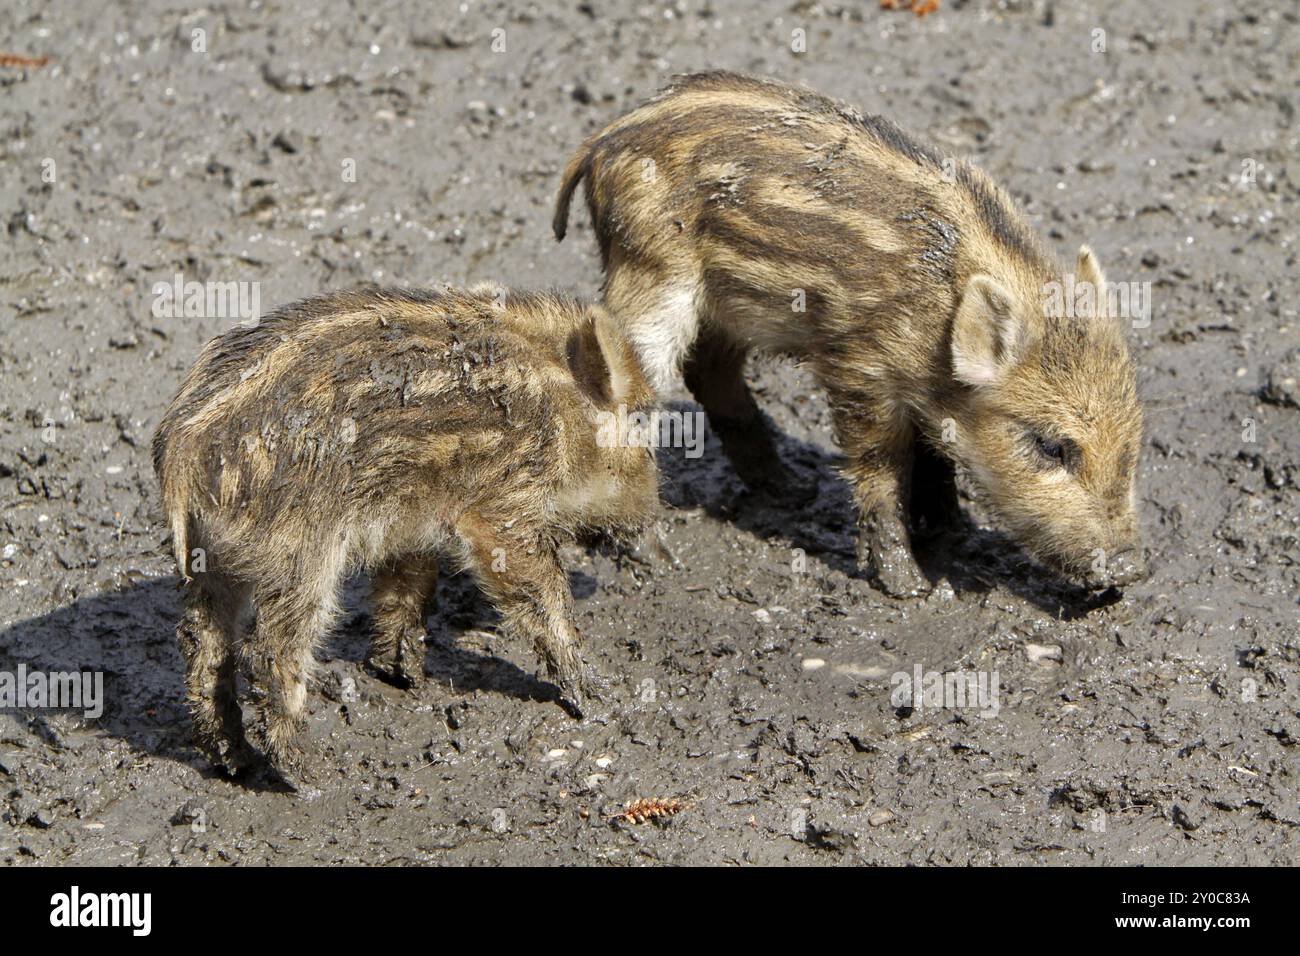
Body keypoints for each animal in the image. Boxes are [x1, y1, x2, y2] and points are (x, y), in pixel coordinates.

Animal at [152, 287, 658, 778]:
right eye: (639, 419)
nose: (650, 519)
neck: (561, 412)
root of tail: (182, 444)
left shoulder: (410, 528)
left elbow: (405, 593)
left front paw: (405, 676)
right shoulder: (499, 513)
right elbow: (545, 597)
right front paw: (599, 696)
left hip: (213, 562)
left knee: (202, 642)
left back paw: (231, 758)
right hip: (300, 553)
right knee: (271, 651)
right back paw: (309, 772)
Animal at [553, 71, 1146, 597]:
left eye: (1133, 443)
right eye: (1051, 446)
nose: (1130, 570)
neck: (938, 315)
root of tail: (605, 139)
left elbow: (933, 452)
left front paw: (949, 533)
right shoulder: (860, 370)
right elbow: (882, 471)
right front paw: (913, 587)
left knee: (710, 371)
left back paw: (793, 489)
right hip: (653, 273)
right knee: (627, 392)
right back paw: (658, 559)